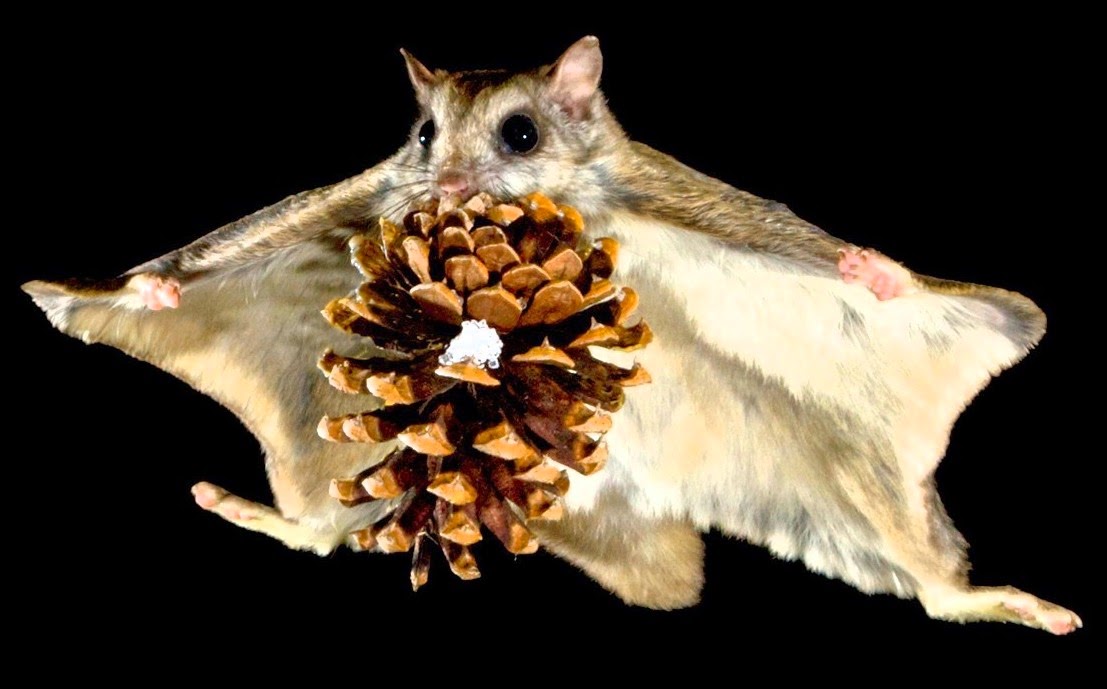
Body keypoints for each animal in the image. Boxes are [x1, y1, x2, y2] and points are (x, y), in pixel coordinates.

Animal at [23, 36, 1079, 634]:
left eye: (521, 134)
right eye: (422, 137)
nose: (447, 187)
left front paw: (874, 271)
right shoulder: (364, 201)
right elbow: (235, 243)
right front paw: (155, 287)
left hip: (856, 492)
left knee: (932, 588)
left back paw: (1006, 602)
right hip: (337, 458)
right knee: (317, 532)